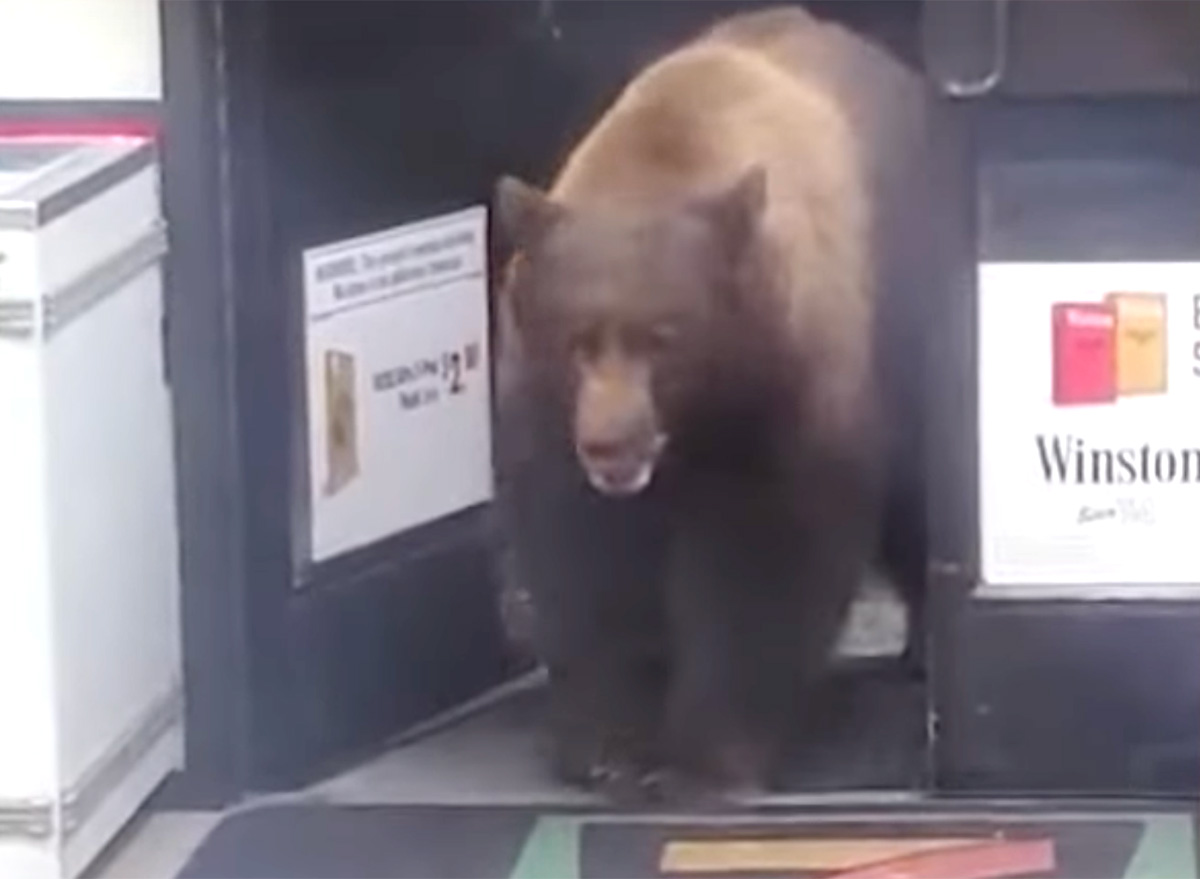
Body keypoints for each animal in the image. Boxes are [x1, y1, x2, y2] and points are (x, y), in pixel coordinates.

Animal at [489, 4, 936, 804]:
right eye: (577, 340)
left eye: (662, 338)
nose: (609, 442)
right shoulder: (546, 413)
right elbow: (585, 560)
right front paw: (607, 743)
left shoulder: (787, 400)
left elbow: (760, 565)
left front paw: (705, 760)